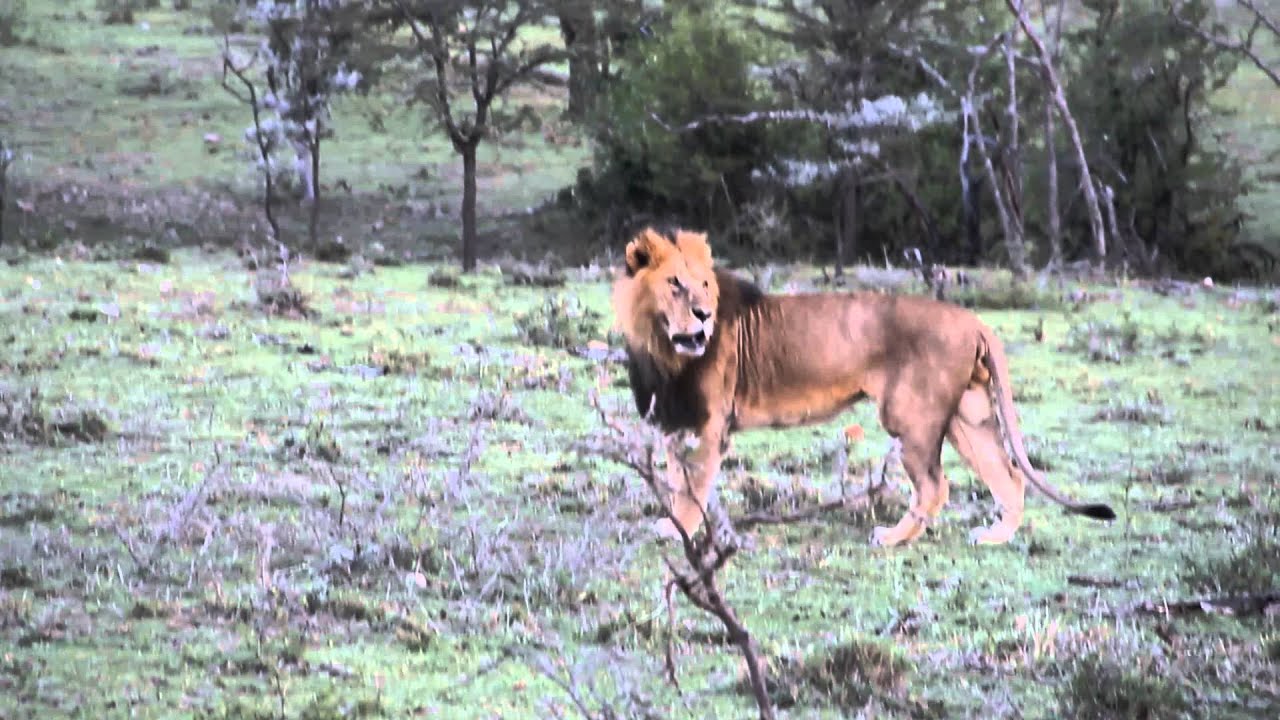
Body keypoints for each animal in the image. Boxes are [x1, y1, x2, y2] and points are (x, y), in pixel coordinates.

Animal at [610, 226, 1115, 547]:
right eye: (676, 284)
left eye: (704, 284)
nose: (704, 314)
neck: (662, 348)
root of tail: (974, 320)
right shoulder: (673, 422)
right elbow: (676, 482)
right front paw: (673, 523)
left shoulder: (712, 425)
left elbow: (693, 488)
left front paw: (676, 532)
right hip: (967, 418)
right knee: (1007, 474)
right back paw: (994, 537)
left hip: (910, 415)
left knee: (935, 486)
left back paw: (892, 538)